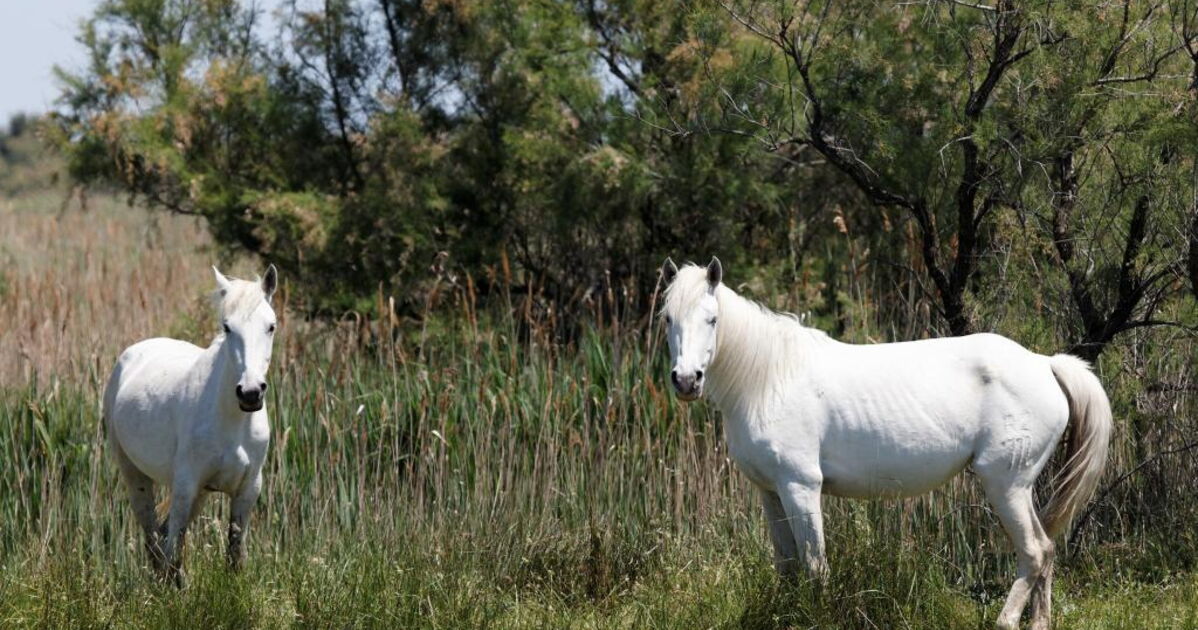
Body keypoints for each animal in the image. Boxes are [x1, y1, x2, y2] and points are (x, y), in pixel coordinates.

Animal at [103, 265, 279, 586]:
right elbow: (176, 553)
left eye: (270, 326)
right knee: (153, 536)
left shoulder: (247, 488)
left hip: (201, 493)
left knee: (160, 535)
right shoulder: (186, 485)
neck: (231, 420)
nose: (250, 393)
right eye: (227, 327)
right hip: (135, 475)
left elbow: (235, 554)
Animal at [659, 258, 1110, 630]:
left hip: (1005, 484)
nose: (686, 380)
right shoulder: (770, 492)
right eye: (667, 319)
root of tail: (1045, 364)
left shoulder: (800, 486)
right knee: (1046, 549)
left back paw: (1005, 620)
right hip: (1020, 486)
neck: (769, 380)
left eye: (712, 319)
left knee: (1033, 551)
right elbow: (786, 565)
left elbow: (815, 565)